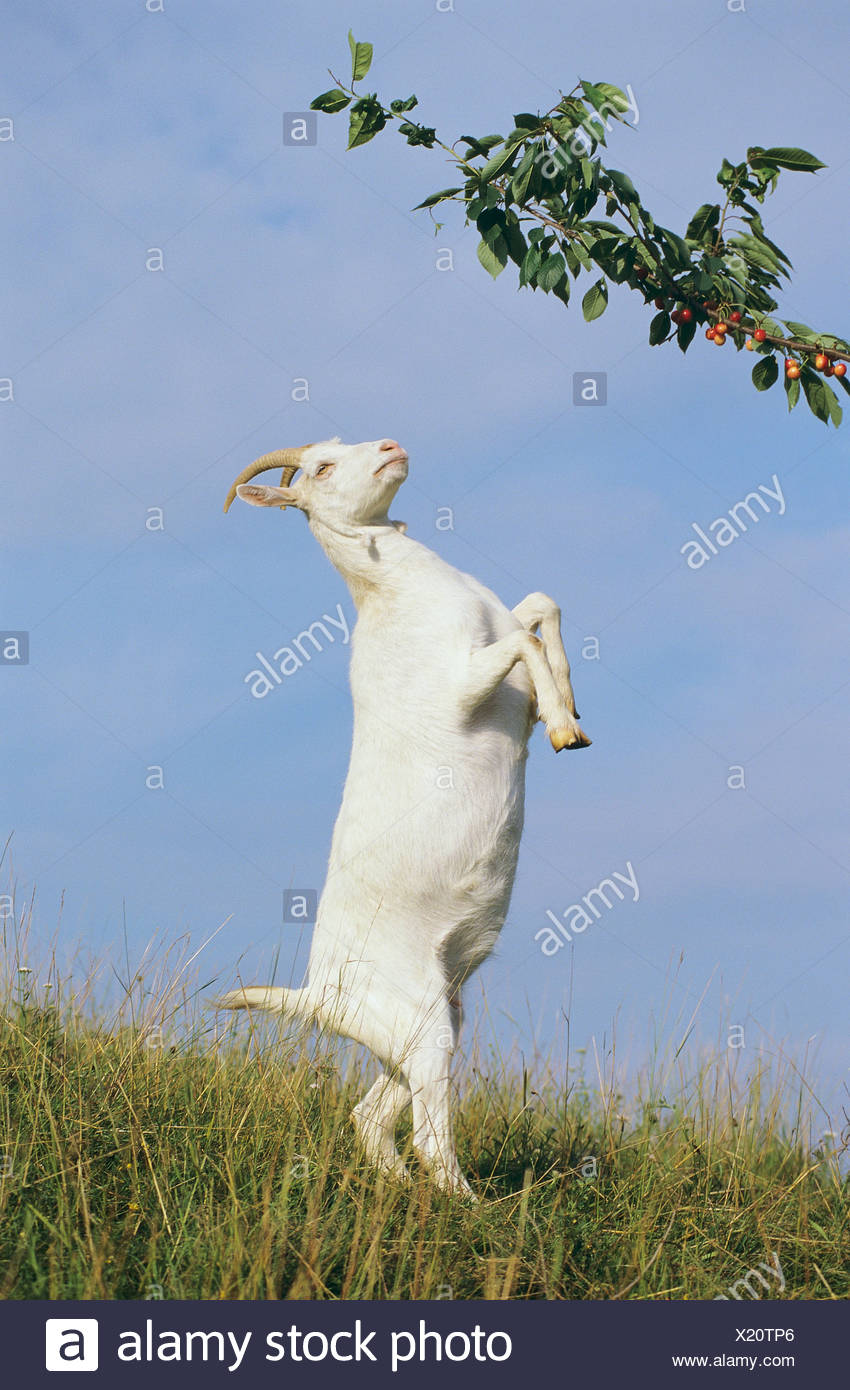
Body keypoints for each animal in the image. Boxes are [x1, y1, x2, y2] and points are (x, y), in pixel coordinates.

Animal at [217, 437, 590, 1194]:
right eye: (321, 469)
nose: (391, 447)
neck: (396, 593)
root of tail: (320, 996)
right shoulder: (464, 683)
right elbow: (525, 642)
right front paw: (564, 729)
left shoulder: (506, 634)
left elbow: (542, 607)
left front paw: (570, 712)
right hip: (422, 1029)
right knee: (430, 1141)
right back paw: (469, 1207)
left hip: (426, 1030)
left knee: (371, 1117)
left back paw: (398, 1189)